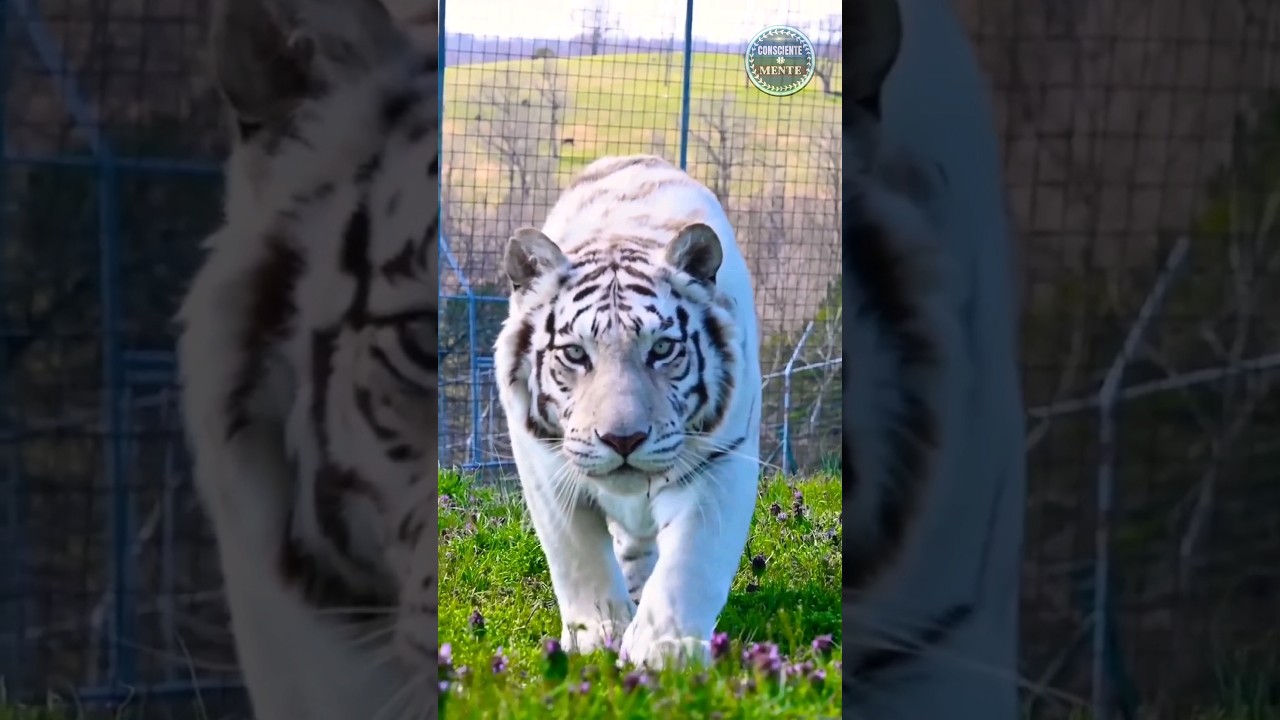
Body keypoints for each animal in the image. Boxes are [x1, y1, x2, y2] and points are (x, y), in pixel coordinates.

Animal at [493, 154, 763, 670]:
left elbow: (690, 562)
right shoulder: (546, 473)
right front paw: (598, 635)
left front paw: (664, 651)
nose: (623, 440)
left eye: (661, 349)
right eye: (576, 354)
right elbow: (579, 559)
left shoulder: (721, 464)